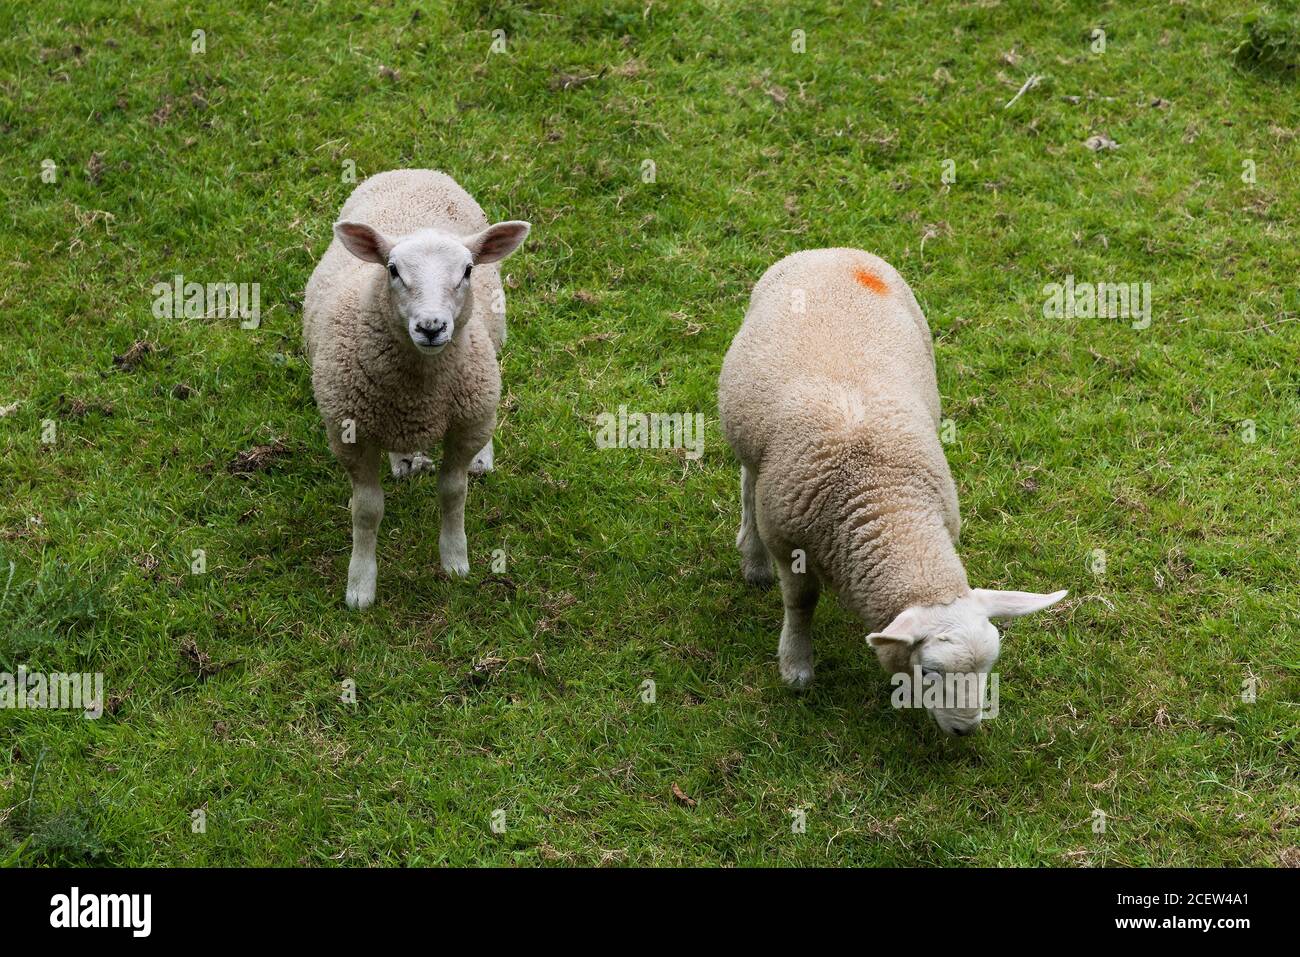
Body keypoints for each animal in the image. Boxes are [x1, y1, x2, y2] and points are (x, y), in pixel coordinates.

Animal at [303, 169, 530, 609]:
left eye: (468, 270)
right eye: (392, 269)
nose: (431, 327)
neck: (418, 394)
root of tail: (412, 170)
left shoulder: (466, 422)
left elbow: (453, 492)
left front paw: (455, 561)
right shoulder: (350, 434)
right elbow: (367, 510)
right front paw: (360, 585)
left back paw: (481, 458)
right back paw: (403, 460)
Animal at [718, 248, 1065, 735]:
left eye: (988, 667)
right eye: (931, 670)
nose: (966, 730)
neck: (882, 495)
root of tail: (834, 250)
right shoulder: (789, 542)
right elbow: (800, 603)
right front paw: (797, 668)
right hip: (750, 443)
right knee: (749, 482)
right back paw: (752, 559)